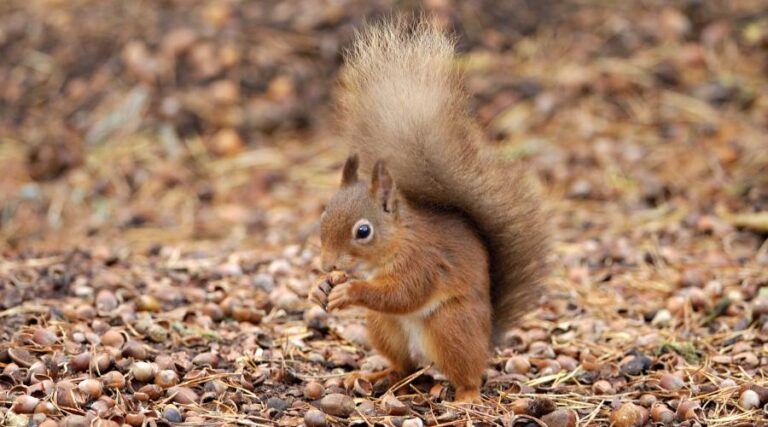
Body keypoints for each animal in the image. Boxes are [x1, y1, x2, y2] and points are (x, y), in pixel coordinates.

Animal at [309, 18, 548, 403]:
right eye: (323, 217)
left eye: (363, 231)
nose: (327, 264)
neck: (395, 244)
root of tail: (487, 336)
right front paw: (320, 288)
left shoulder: (423, 262)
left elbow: (403, 294)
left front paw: (351, 291)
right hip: (384, 326)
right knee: (406, 366)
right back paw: (377, 374)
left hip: (450, 326)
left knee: (466, 372)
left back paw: (466, 399)